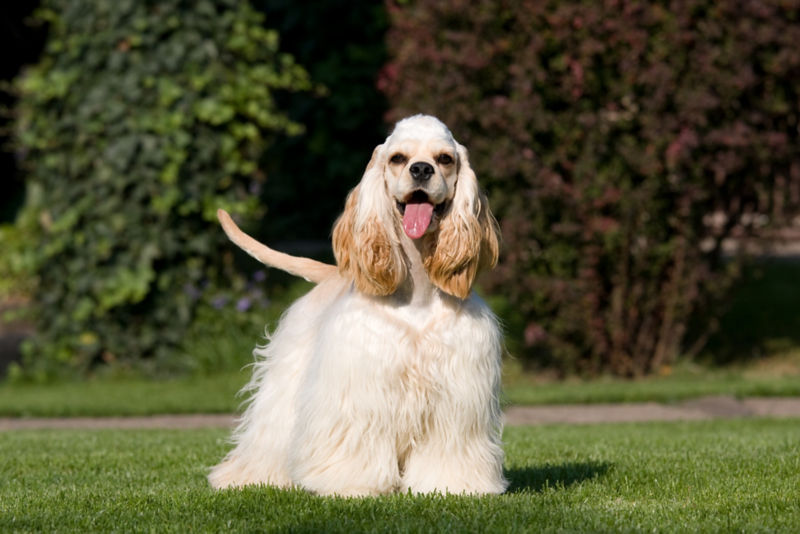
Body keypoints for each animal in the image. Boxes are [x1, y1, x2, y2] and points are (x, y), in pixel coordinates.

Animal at [208, 114, 506, 498]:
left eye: (444, 158)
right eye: (398, 158)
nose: (421, 169)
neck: (418, 292)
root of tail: (330, 273)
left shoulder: (457, 391)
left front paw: (453, 486)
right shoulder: (360, 387)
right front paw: (350, 484)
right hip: (287, 377)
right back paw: (249, 477)